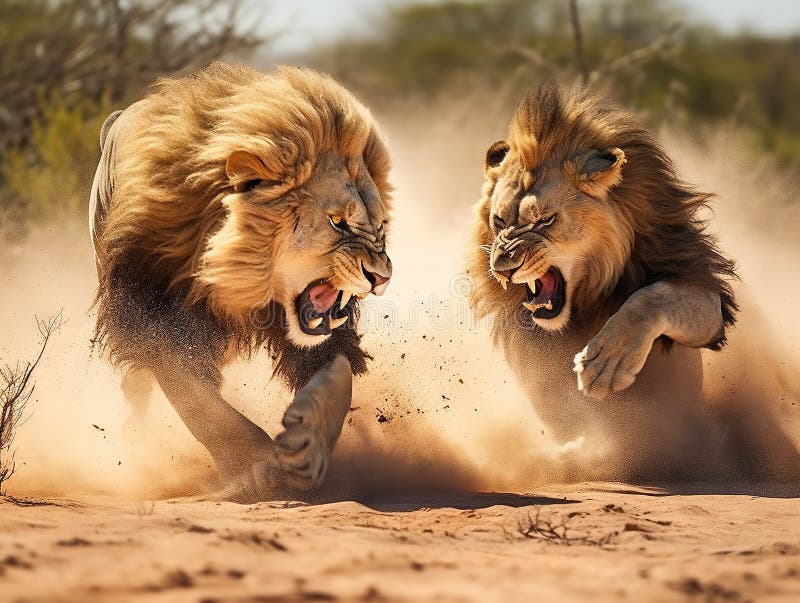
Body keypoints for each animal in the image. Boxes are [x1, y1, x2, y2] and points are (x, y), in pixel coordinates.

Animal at [89, 63, 393, 497]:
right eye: (338, 222)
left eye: (380, 225)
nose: (382, 277)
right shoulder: (148, 308)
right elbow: (196, 398)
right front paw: (257, 468)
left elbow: (340, 373)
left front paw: (309, 442)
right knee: (139, 385)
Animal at [468, 83, 740, 479]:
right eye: (500, 221)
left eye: (545, 220)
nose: (502, 267)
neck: (584, 297)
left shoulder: (704, 295)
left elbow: (651, 297)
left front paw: (606, 364)